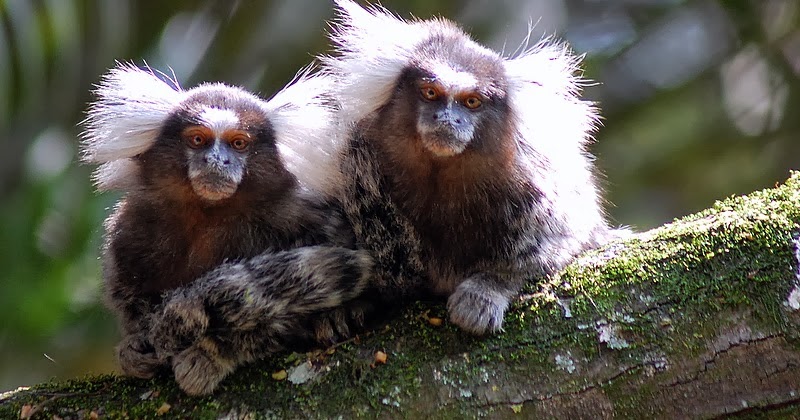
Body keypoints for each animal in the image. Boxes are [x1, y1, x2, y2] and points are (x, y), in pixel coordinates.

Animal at [81, 63, 373, 395]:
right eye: (198, 140)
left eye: (238, 143)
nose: (217, 160)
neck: (207, 215)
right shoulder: (131, 226)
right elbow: (128, 296)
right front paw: (135, 346)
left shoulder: (302, 214)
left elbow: (297, 301)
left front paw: (211, 352)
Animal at [318, 0, 617, 335]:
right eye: (431, 93)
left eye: (471, 102)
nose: (448, 119)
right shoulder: (357, 169)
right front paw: (352, 307)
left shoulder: (538, 189)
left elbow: (557, 247)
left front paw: (487, 290)